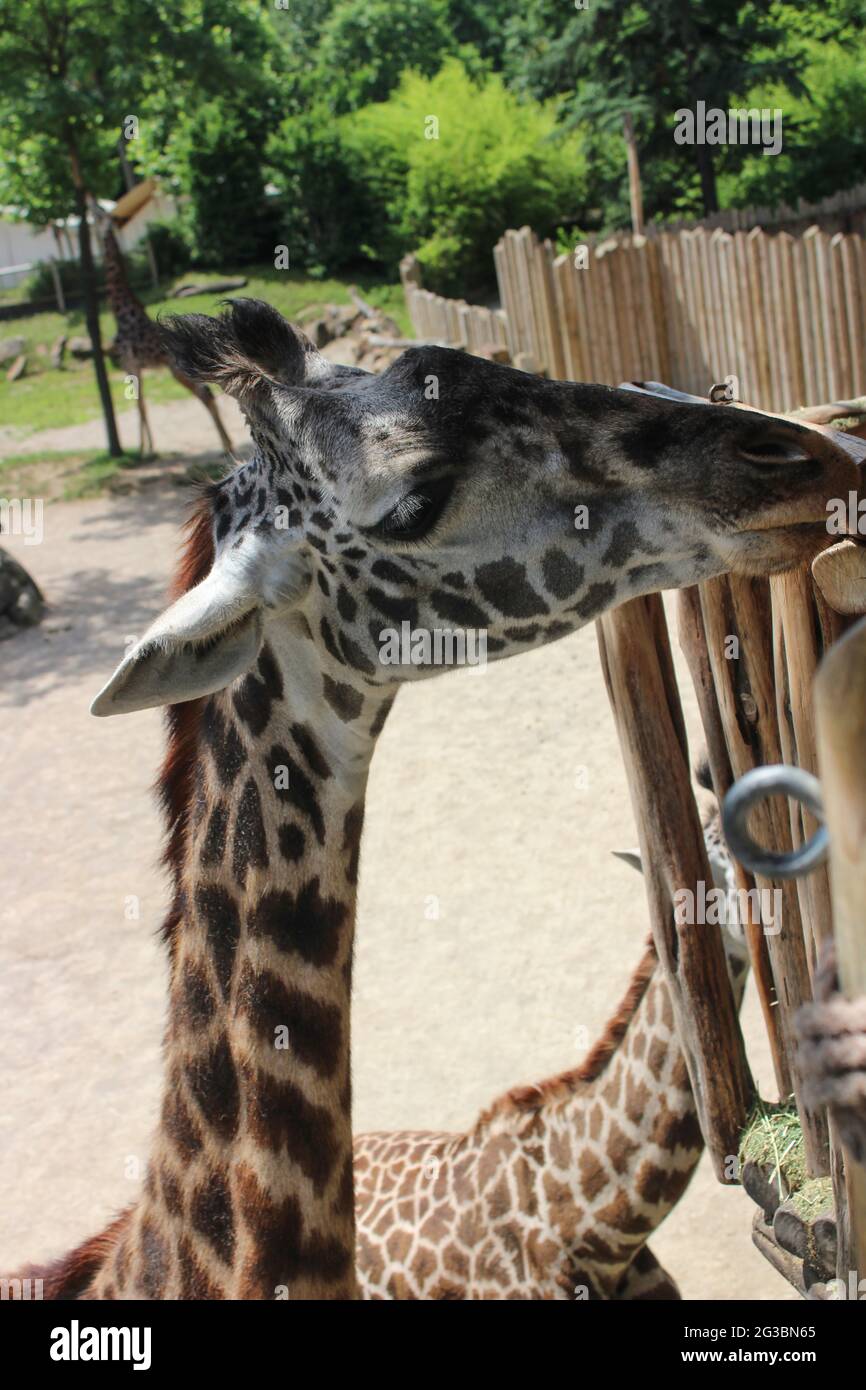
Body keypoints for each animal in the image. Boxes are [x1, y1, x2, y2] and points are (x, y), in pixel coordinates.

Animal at [92, 203, 233, 457]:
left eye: (99, 215)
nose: (90, 207)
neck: (122, 313)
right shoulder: (135, 366)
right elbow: (141, 403)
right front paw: (148, 447)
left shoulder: (130, 362)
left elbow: (139, 405)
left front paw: (143, 450)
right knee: (208, 393)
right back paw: (228, 445)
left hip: (178, 369)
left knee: (205, 393)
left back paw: (227, 446)